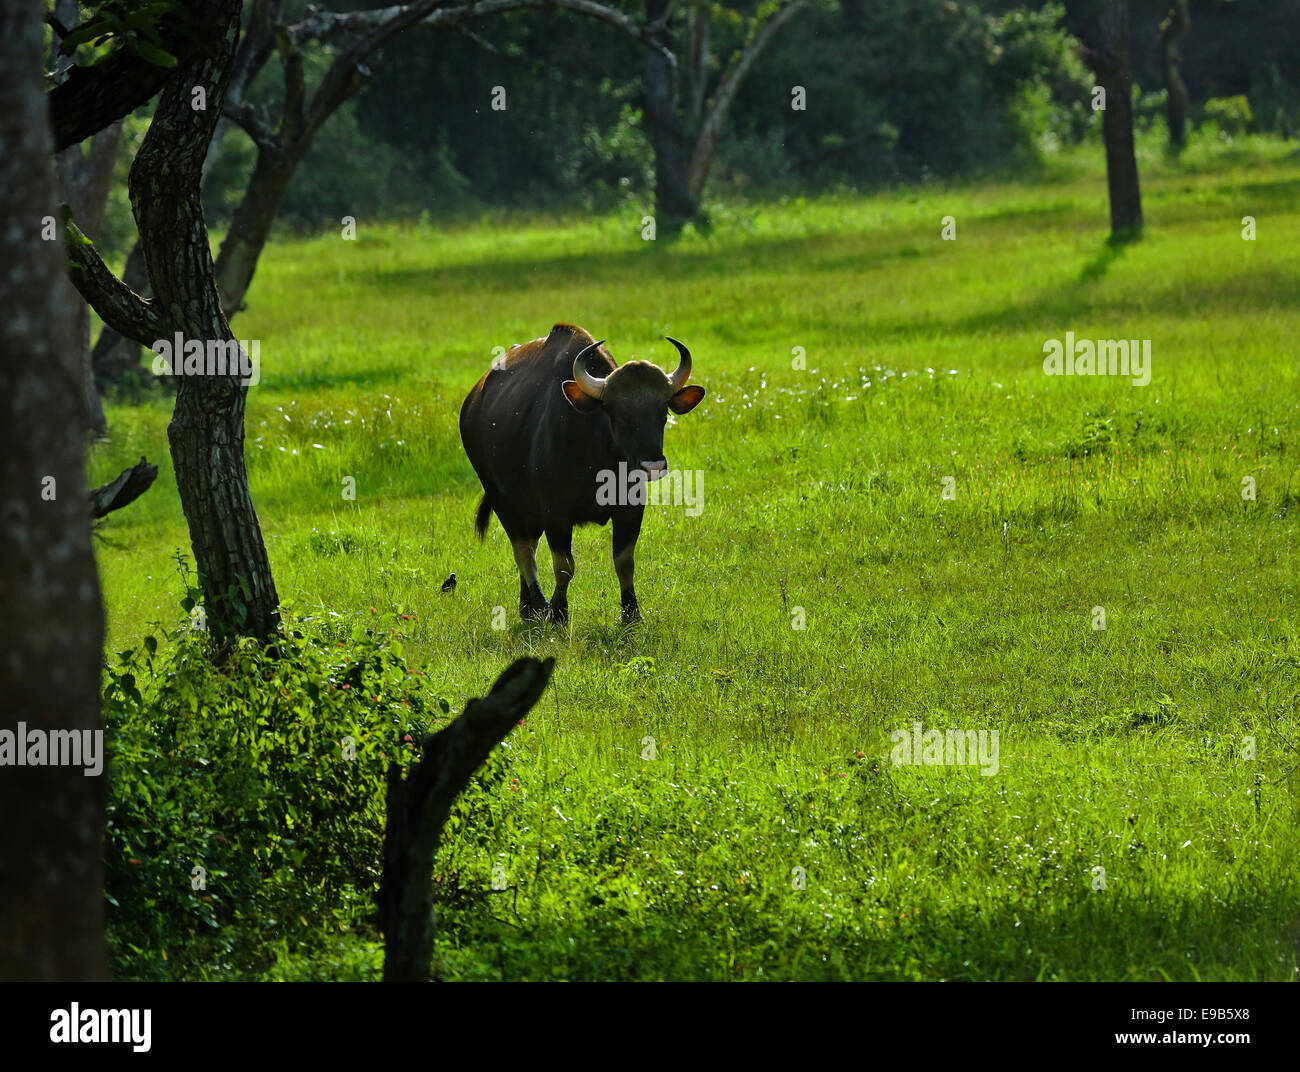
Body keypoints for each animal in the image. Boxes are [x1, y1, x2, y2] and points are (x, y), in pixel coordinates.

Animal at [459, 323, 705, 624]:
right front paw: (558, 613)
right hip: (503, 500)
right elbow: (564, 566)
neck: (598, 461)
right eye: (617, 413)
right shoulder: (555, 515)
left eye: (663, 412)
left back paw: (527, 607)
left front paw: (632, 613)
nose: (653, 466)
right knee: (523, 551)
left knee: (529, 545)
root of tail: (473, 401)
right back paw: (539, 604)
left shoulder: (631, 509)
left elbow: (625, 562)